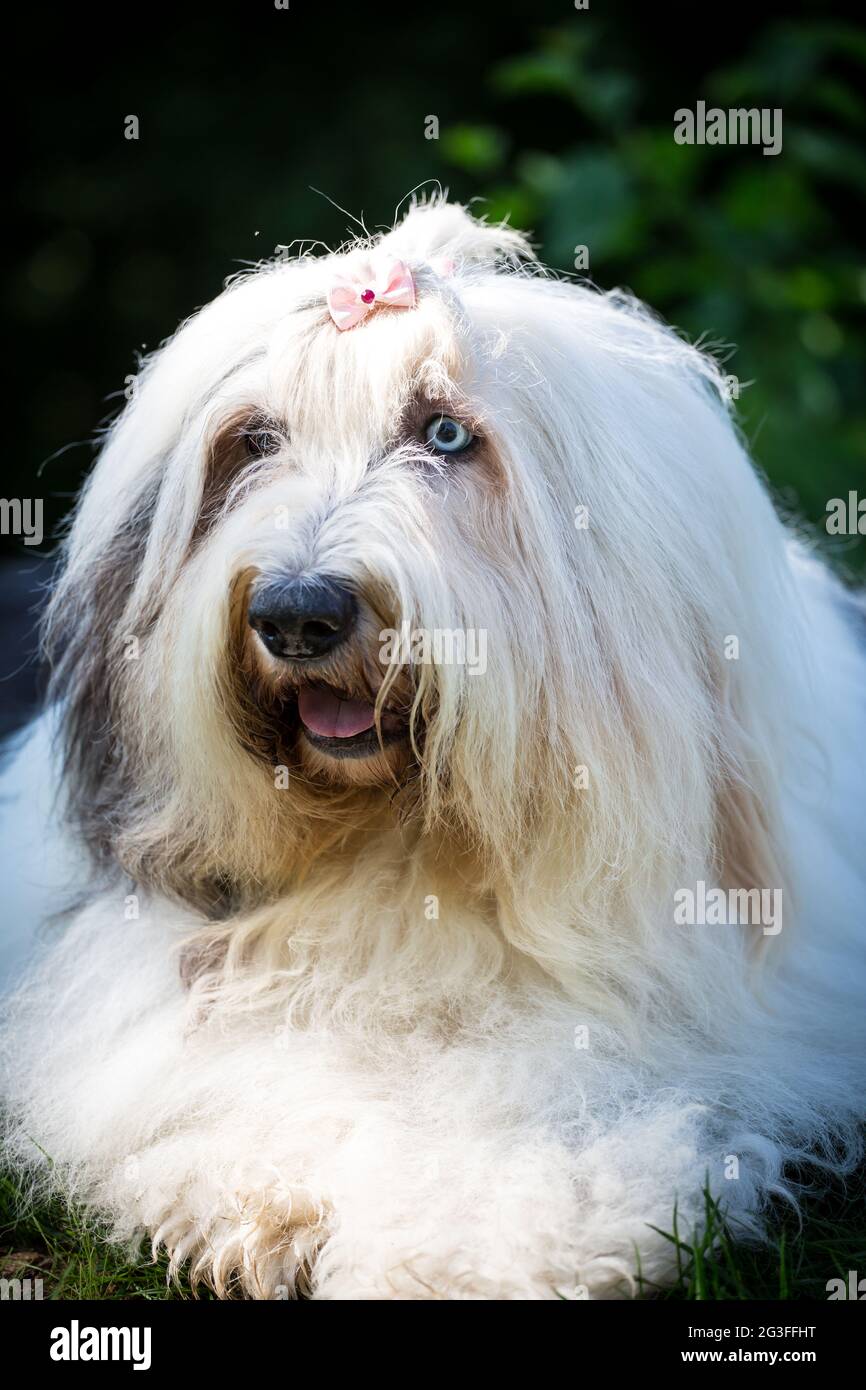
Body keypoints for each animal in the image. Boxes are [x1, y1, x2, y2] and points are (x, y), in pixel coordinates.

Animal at [1, 197, 864, 1300]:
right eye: (253, 442)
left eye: (446, 434)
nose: (296, 612)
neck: (409, 843)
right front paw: (263, 1195)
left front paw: (458, 1249)